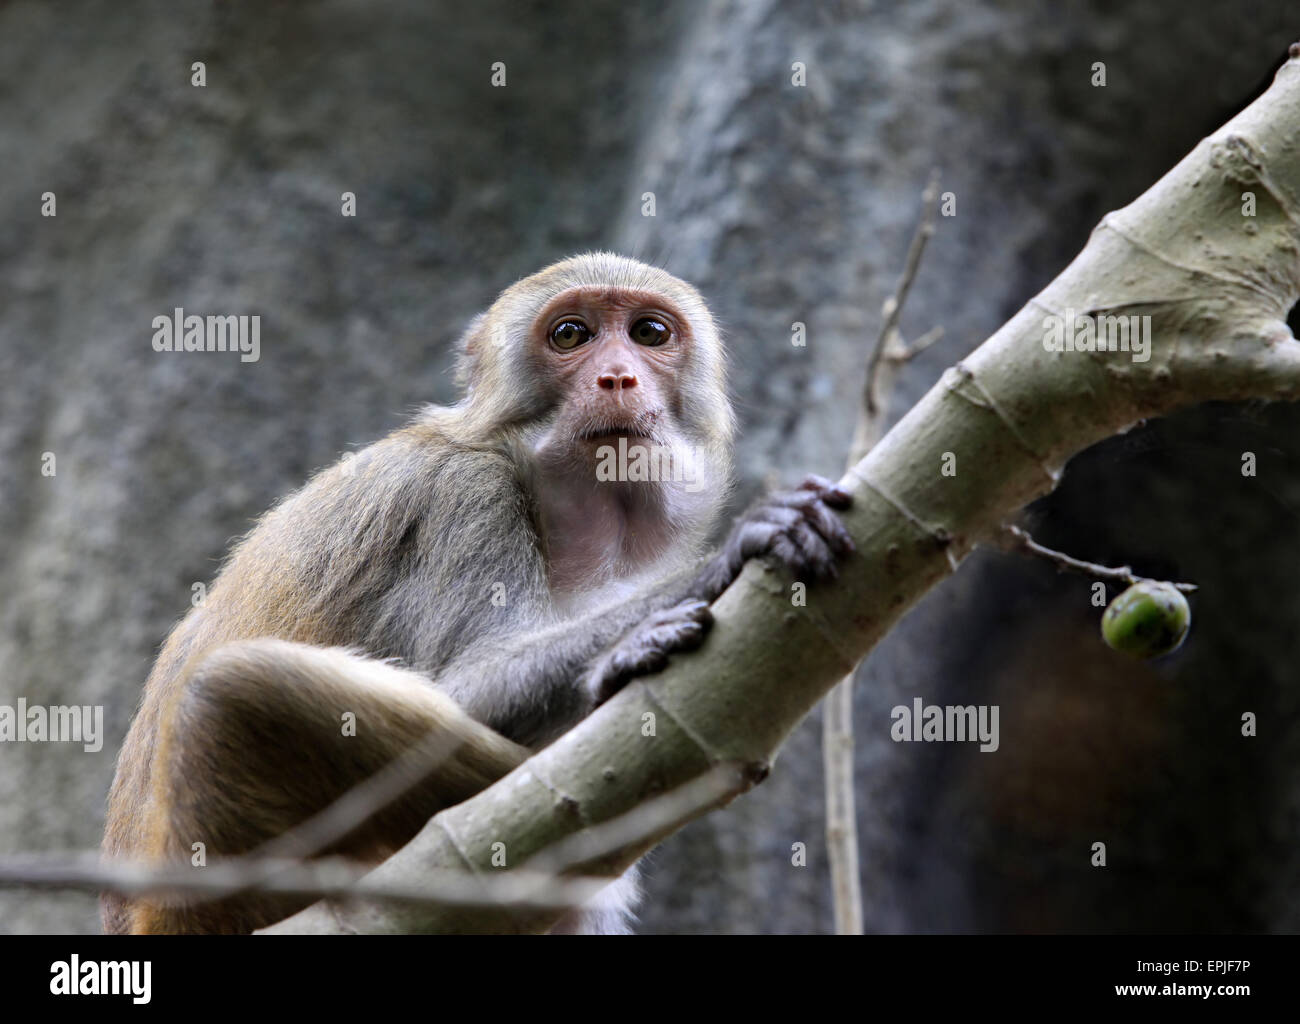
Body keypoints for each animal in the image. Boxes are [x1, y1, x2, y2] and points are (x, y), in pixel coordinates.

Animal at [100, 252, 854, 935]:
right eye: (571, 335)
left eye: (649, 333)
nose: (617, 375)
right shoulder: (463, 498)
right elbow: (470, 686)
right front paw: (722, 562)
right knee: (234, 692)